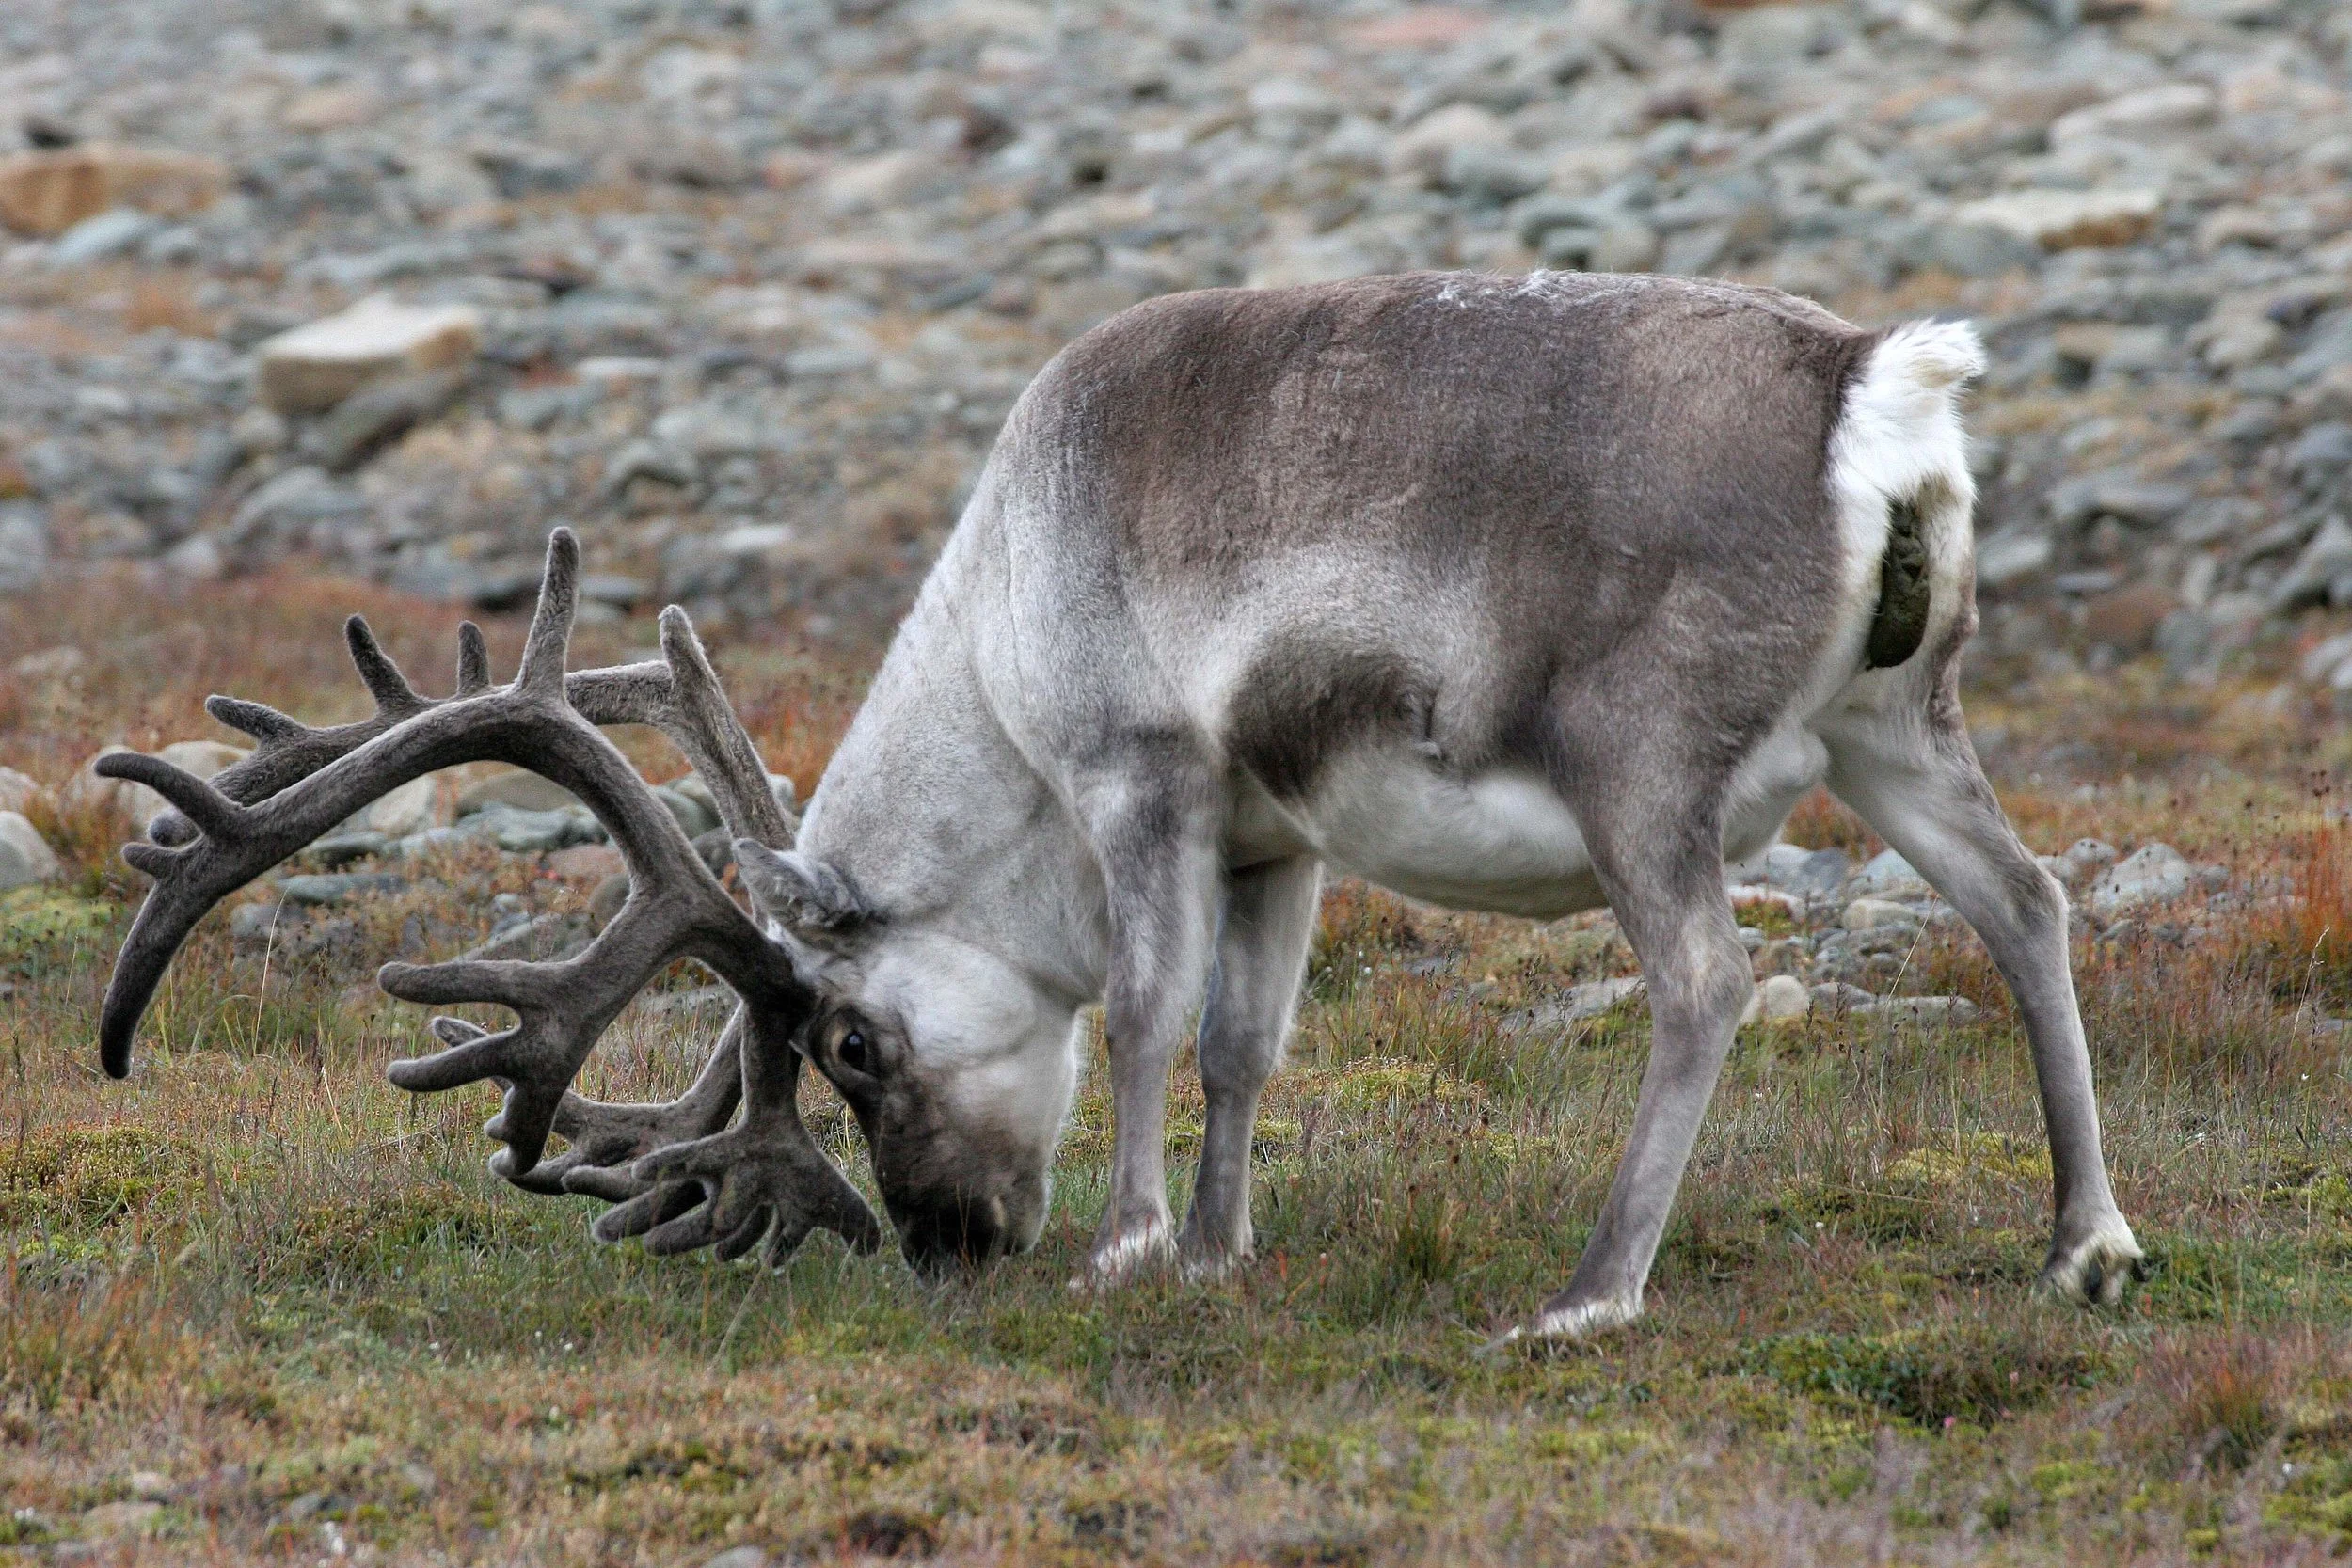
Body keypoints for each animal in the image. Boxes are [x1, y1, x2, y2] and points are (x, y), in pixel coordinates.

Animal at [95, 270, 2143, 1342]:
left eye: (845, 1039)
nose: (952, 1244)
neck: (999, 653)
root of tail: (1873, 392)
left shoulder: (1136, 769)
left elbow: (1149, 1012)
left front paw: (1132, 1242)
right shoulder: (1275, 836)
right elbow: (1243, 1039)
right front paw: (1222, 1246)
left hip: (1639, 767)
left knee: (1708, 979)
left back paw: (1587, 1289)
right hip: (1895, 728)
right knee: (2028, 901)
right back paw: (2085, 1241)